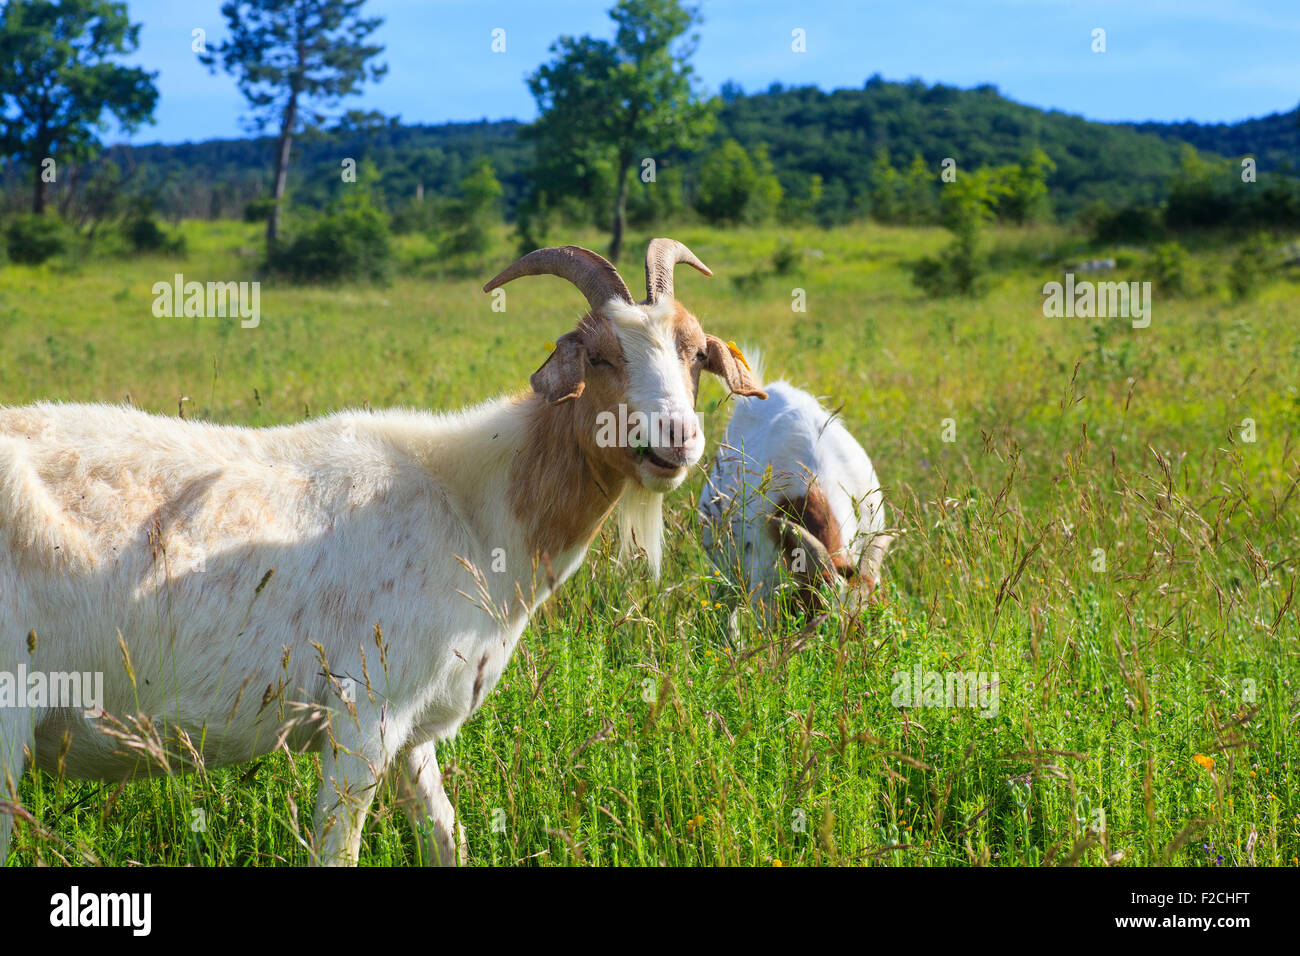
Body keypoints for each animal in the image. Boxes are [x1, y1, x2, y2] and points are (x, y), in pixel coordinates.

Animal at [0, 238, 765, 866]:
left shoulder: (413, 728)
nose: (675, 440)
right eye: (600, 354)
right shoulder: (362, 709)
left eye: (695, 354)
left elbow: (445, 834)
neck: (471, 505)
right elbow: (337, 851)